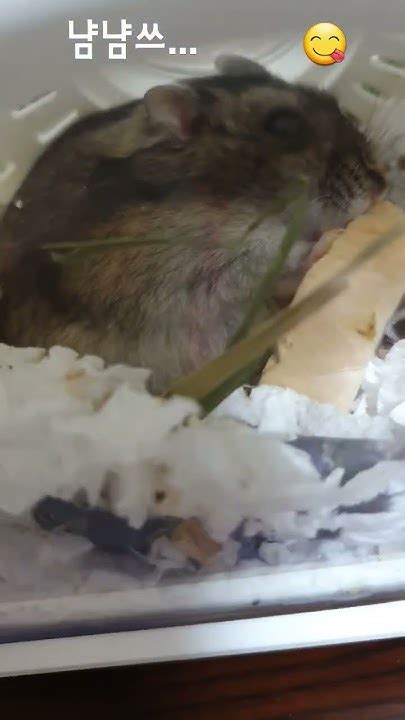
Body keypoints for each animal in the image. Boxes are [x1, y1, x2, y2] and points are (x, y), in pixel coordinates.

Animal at [0, 55, 387, 393]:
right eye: (282, 125)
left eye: (333, 101)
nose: (381, 186)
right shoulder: (196, 266)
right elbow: (274, 264)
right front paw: (330, 241)